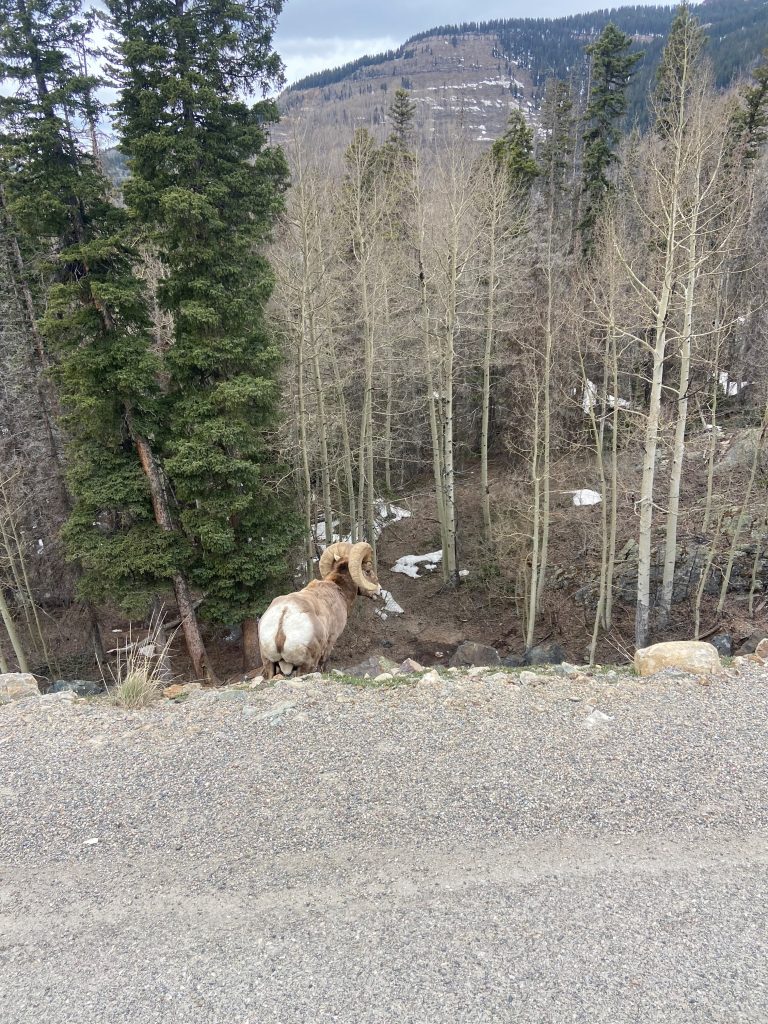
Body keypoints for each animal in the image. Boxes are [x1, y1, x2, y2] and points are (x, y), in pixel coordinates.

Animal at [259, 541, 380, 678]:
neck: (338, 591)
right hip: (306, 665)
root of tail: (284, 615)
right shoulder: (331, 641)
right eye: (368, 571)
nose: (379, 590)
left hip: (269, 664)